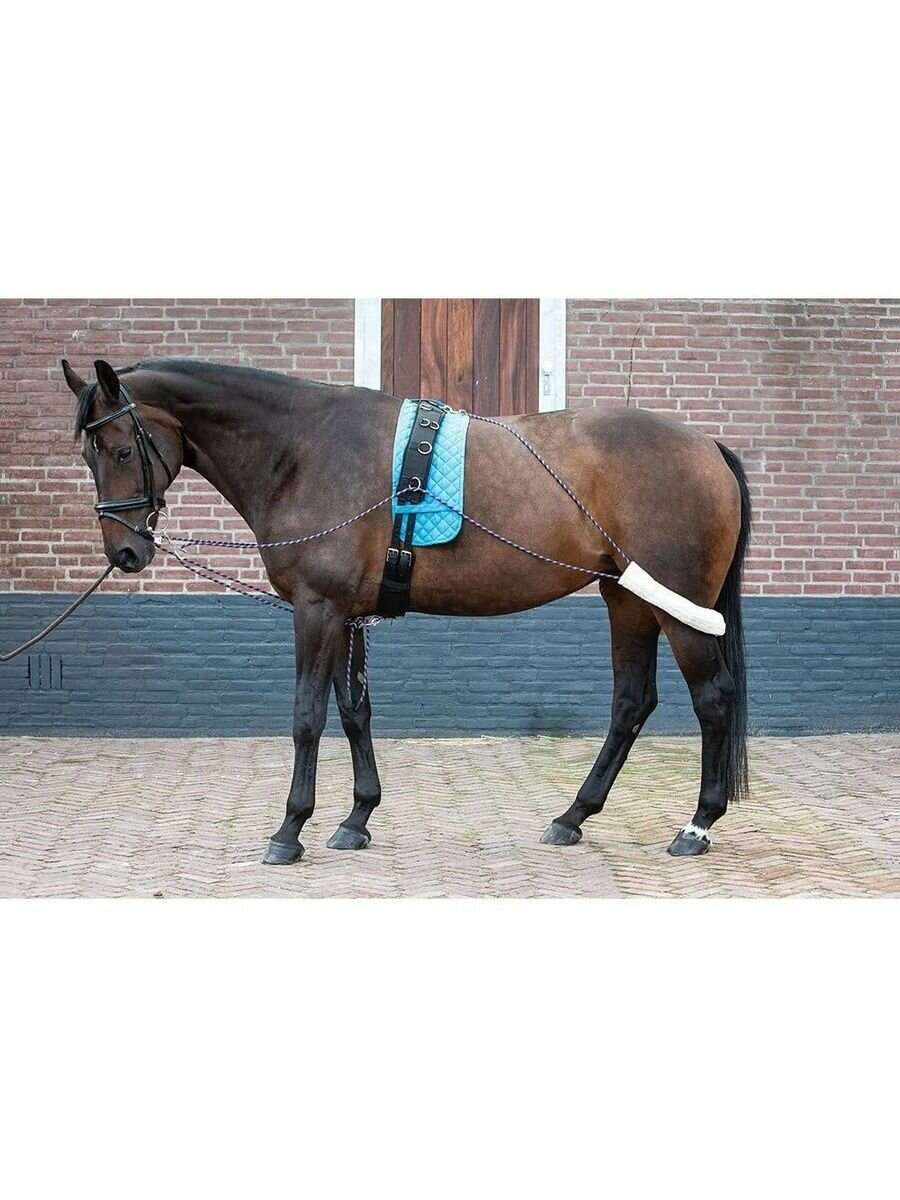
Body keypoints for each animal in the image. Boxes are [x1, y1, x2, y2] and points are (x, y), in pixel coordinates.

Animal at [61, 356, 751, 864]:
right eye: (87, 455)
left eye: (121, 450)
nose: (124, 552)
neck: (303, 448)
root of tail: (708, 447)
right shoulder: (347, 616)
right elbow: (354, 713)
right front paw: (357, 817)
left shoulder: (317, 610)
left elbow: (308, 716)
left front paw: (290, 830)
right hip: (628, 599)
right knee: (632, 703)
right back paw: (572, 816)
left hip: (677, 608)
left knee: (713, 698)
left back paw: (697, 827)